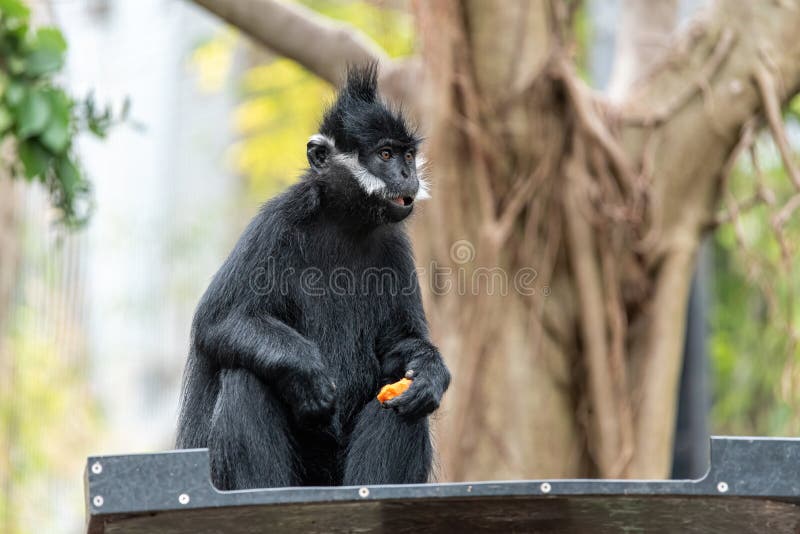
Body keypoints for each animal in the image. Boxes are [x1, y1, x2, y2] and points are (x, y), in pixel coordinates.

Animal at [176, 64, 451, 490]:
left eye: (408, 155)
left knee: (401, 402)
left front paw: (431, 371)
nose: (408, 174)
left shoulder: (395, 246)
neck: (344, 223)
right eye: (385, 155)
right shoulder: (276, 222)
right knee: (245, 379)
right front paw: (306, 370)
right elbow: (218, 321)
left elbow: (399, 345)